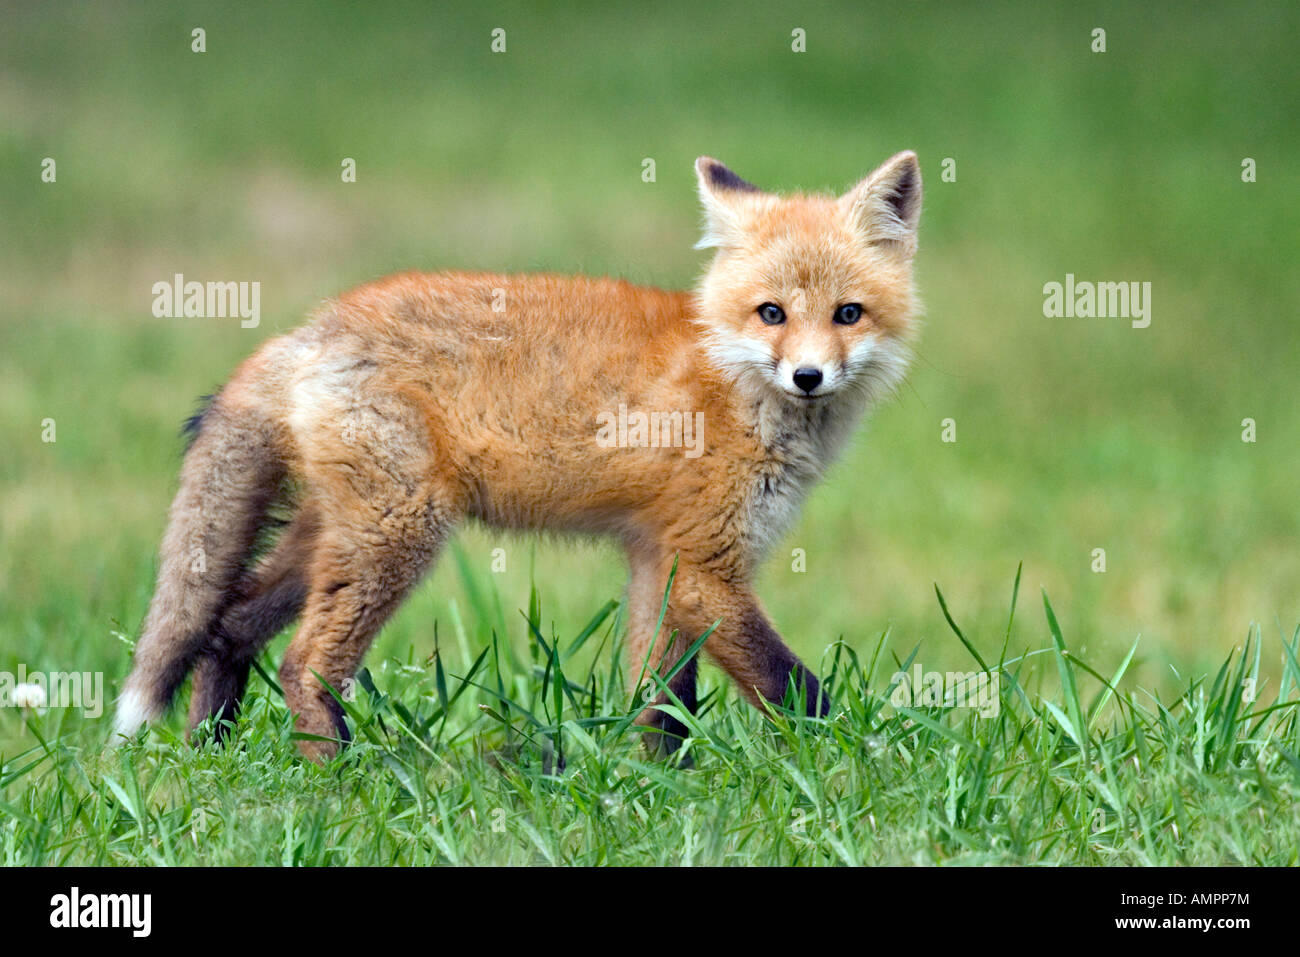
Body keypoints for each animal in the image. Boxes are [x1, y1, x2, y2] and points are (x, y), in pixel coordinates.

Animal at [115, 151, 922, 761]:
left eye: (848, 314)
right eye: (772, 314)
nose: (809, 376)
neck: (732, 383)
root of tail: (313, 327)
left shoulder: (658, 559)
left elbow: (661, 703)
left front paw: (664, 788)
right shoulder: (703, 566)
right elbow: (796, 688)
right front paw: (857, 763)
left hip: (335, 537)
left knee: (226, 627)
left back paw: (214, 761)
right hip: (397, 538)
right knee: (303, 662)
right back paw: (338, 784)